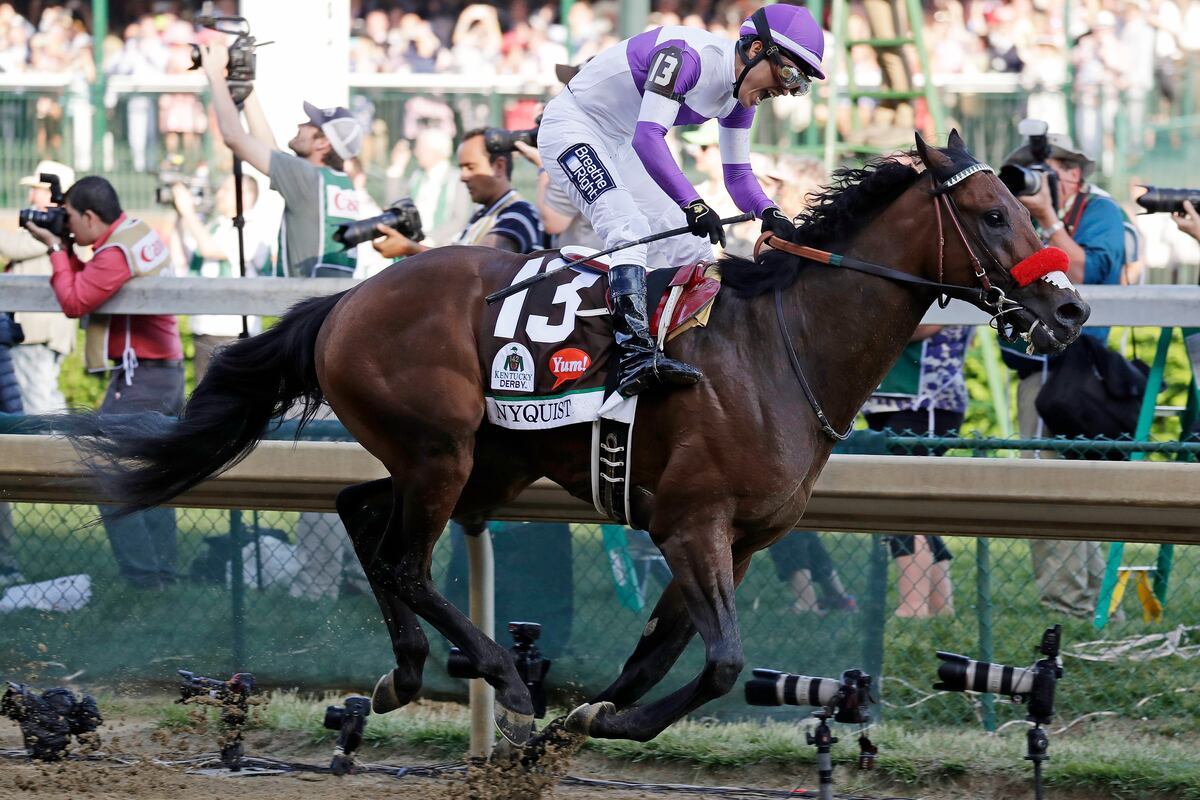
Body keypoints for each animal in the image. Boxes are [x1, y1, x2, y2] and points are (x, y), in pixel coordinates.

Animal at [70, 131, 1088, 747]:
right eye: (994, 215)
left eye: (1035, 210)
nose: (1072, 307)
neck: (780, 348)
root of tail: (346, 301)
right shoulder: (690, 524)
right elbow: (720, 660)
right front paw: (589, 717)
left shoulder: (739, 540)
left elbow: (660, 654)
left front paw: (593, 714)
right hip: (442, 452)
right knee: (401, 556)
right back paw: (493, 677)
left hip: (480, 463)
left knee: (360, 511)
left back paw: (405, 674)